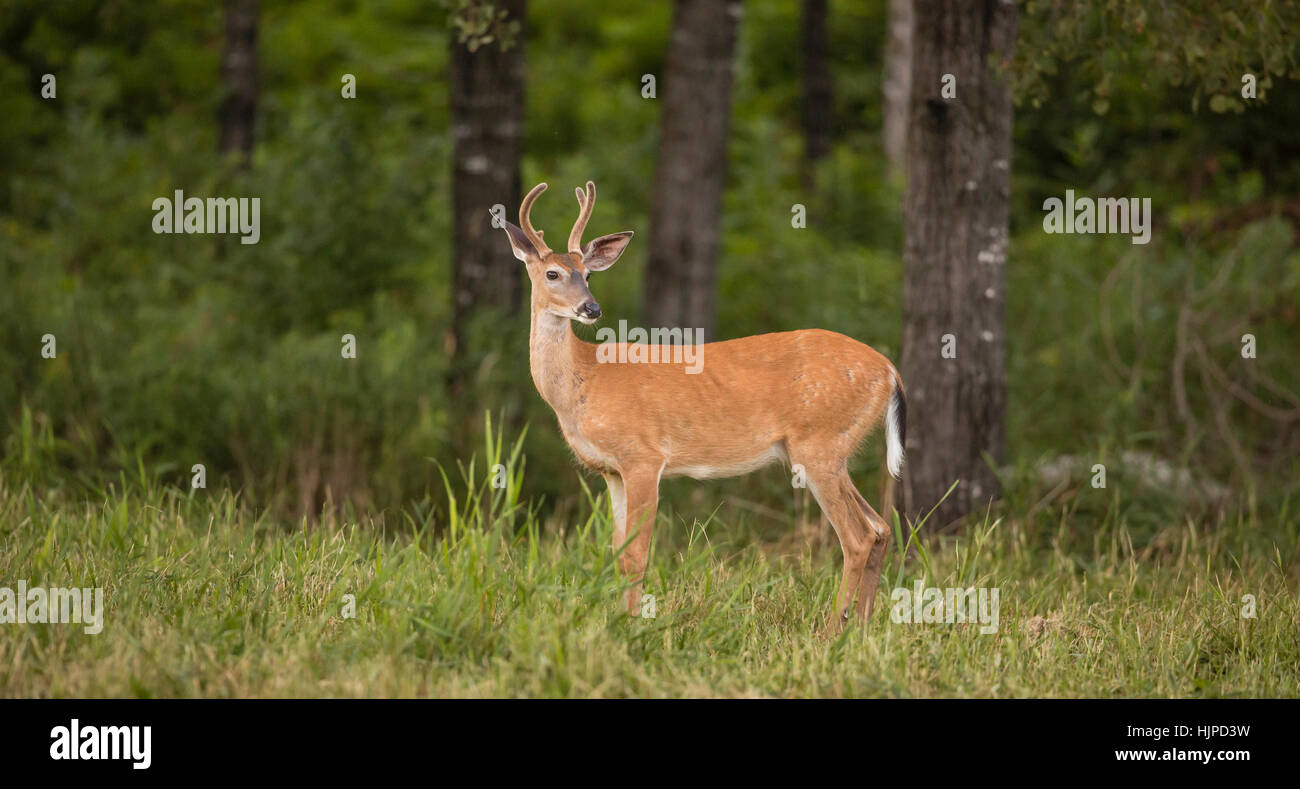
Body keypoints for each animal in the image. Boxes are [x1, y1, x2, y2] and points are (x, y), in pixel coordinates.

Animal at [501, 181, 907, 633]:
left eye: (587, 274)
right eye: (553, 273)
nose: (591, 308)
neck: (584, 380)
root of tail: (890, 370)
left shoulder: (644, 457)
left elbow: (637, 554)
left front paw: (633, 626)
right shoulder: (611, 471)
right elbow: (619, 552)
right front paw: (618, 621)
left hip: (819, 443)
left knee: (857, 536)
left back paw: (833, 629)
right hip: (834, 449)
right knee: (880, 527)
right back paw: (862, 627)